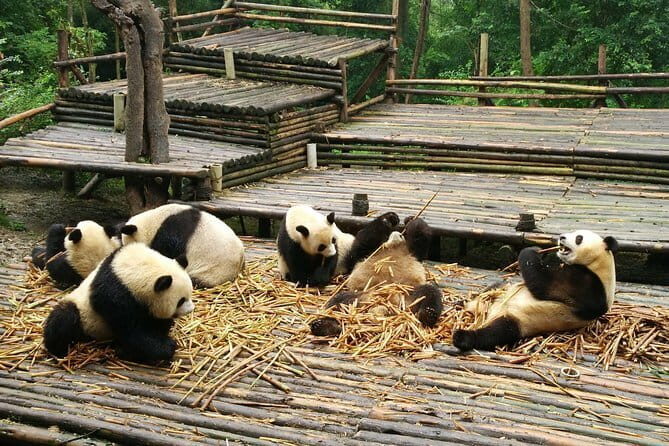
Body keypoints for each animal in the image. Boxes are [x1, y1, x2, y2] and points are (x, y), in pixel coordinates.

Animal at [43, 243, 194, 364]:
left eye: (190, 293)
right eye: (180, 301)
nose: (191, 309)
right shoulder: (114, 296)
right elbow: (132, 329)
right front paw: (167, 347)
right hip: (83, 314)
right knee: (64, 317)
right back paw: (58, 350)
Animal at [310, 217, 444, 337]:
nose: (398, 234)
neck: (393, 247)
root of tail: (386, 305)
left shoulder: (414, 253)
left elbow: (420, 239)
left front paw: (411, 221)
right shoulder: (367, 253)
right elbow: (362, 243)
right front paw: (390, 219)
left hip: (409, 294)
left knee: (430, 293)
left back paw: (428, 315)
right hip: (359, 297)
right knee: (337, 303)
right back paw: (325, 326)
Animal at [453, 230, 618, 352]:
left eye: (579, 238)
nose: (562, 237)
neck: (598, 264)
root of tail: (486, 312)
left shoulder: (585, 285)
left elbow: (544, 284)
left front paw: (532, 250)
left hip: (519, 320)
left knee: (496, 332)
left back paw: (462, 337)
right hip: (502, 292)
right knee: (497, 286)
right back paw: (462, 303)